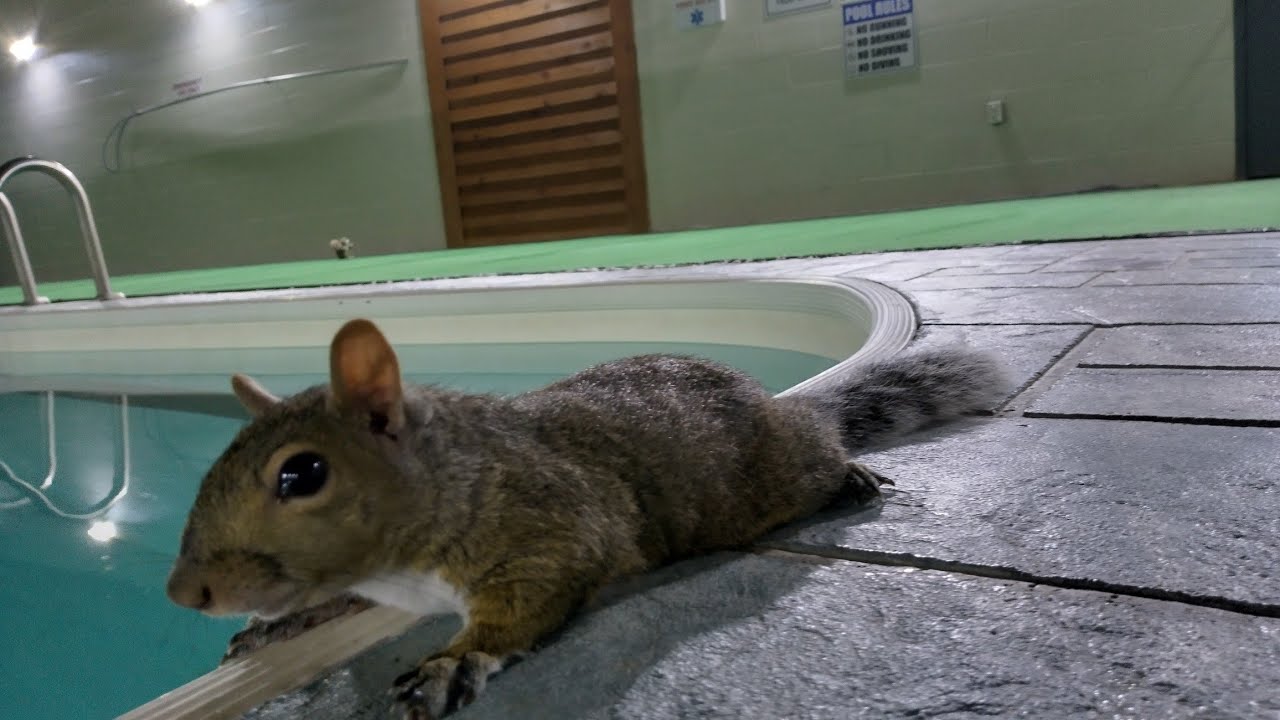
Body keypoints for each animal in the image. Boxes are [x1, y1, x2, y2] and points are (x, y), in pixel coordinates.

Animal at [166, 318, 1006, 719]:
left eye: (302, 474)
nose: (184, 593)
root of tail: (772, 403)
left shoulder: (549, 521)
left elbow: (532, 597)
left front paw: (452, 661)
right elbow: (333, 601)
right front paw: (278, 626)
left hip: (780, 468)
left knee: (819, 451)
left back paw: (850, 474)